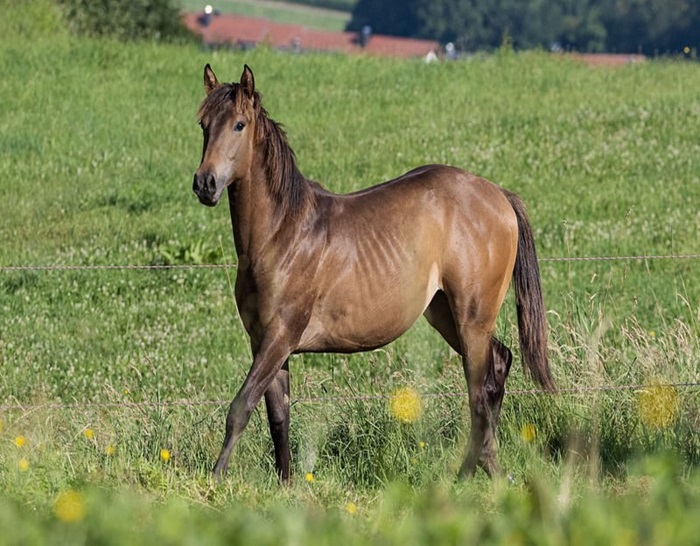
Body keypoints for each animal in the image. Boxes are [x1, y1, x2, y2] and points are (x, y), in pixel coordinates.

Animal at [192, 64, 554, 483]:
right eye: (203, 124)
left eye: (239, 124)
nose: (205, 184)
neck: (283, 234)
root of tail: (498, 195)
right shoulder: (264, 342)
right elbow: (278, 417)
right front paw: (285, 483)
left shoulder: (280, 337)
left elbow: (240, 407)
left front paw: (216, 478)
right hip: (445, 315)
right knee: (499, 365)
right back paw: (490, 469)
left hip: (472, 319)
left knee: (479, 395)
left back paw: (466, 475)